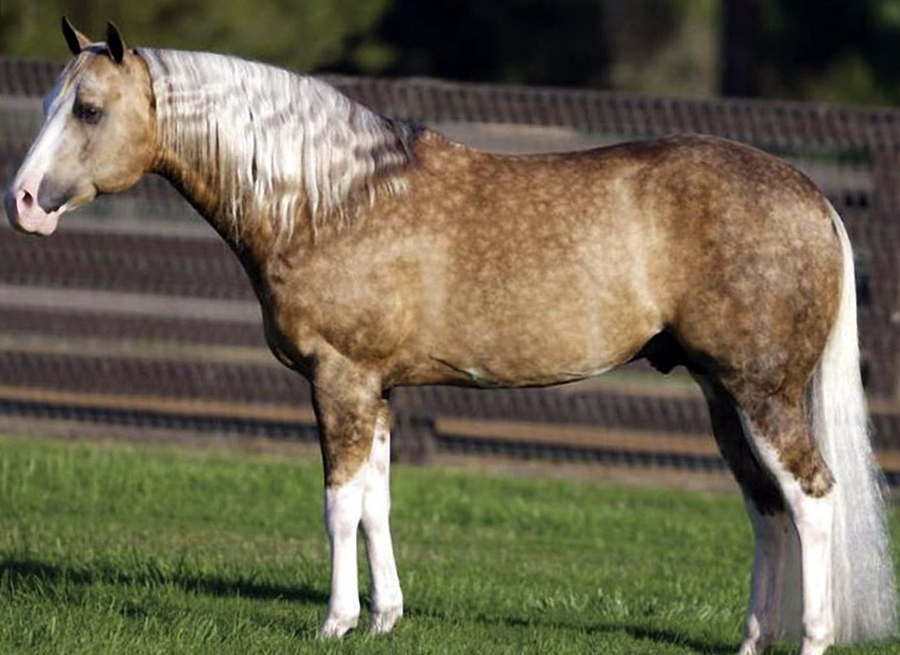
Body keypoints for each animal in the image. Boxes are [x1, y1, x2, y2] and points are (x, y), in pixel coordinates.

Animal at [4, 19, 896, 655]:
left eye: (89, 109)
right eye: (51, 105)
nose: (23, 201)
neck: (330, 200)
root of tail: (812, 195)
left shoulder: (339, 379)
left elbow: (338, 504)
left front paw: (334, 621)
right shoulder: (378, 386)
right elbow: (377, 501)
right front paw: (385, 617)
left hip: (762, 392)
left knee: (811, 498)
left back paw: (812, 639)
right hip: (721, 394)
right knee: (765, 508)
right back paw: (751, 640)